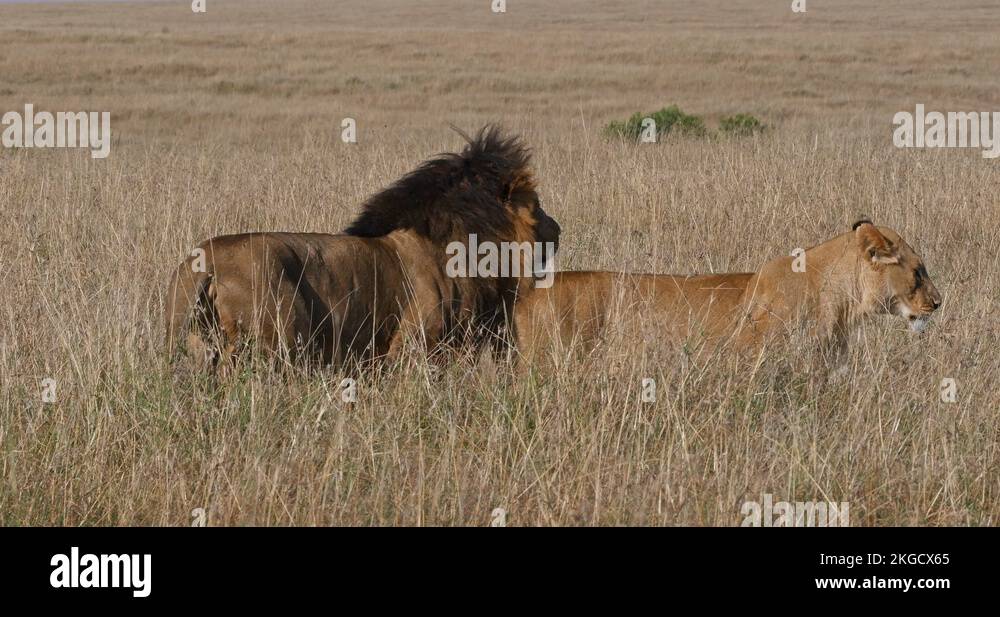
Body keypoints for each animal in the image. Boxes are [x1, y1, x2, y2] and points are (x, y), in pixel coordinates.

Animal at [165, 126, 560, 370]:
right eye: (537, 205)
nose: (558, 230)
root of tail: (204, 260)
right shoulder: (413, 348)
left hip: (202, 347)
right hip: (271, 344)